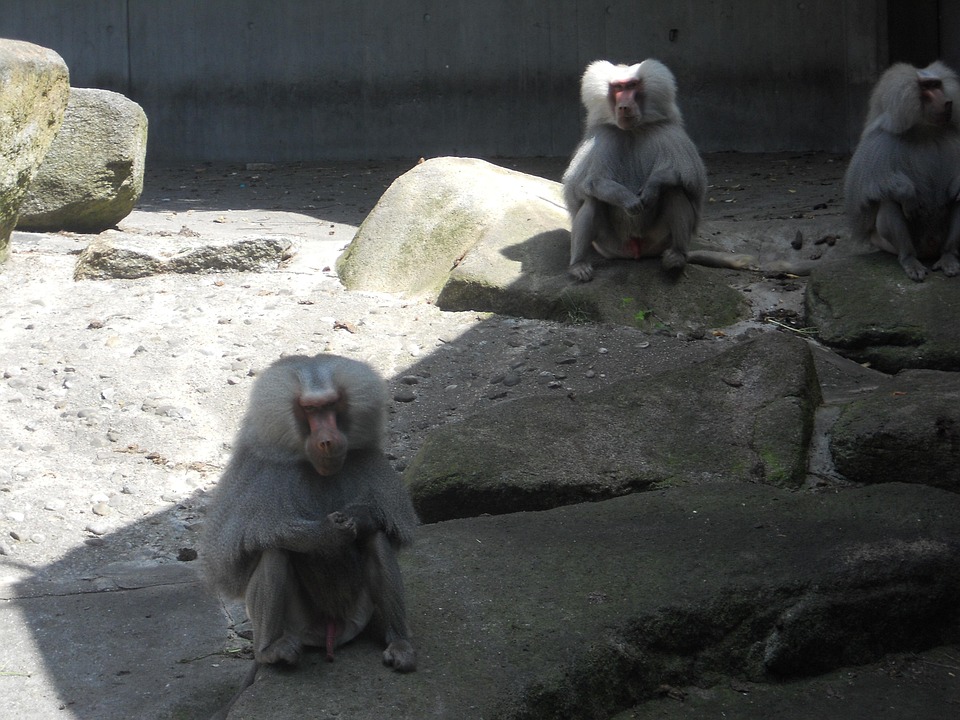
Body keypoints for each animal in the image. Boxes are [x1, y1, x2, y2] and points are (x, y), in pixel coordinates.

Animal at [202, 354, 418, 717]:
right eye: (310, 409)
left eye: (330, 406)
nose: (328, 440)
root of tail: (330, 632)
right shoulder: (257, 472)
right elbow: (232, 556)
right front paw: (325, 534)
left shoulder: (369, 463)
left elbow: (394, 531)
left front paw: (359, 517)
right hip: (299, 628)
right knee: (274, 551)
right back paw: (271, 651)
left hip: (357, 615)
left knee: (375, 539)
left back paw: (400, 643)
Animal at [562, 59, 708, 282]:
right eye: (617, 88)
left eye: (632, 86)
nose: (623, 107)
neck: (633, 131)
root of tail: (636, 252)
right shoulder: (602, 137)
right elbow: (587, 184)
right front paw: (627, 199)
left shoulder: (669, 134)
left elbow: (688, 179)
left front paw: (651, 188)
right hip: (609, 246)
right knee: (593, 199)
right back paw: (578, 266)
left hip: (657, 243)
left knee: (674, 190)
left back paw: (676, 258)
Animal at [844, 60, 960, 281]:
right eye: (927, 87)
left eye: (938, 84)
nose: (948, 102)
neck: (925, 130)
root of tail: (929, 253)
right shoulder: (878, 143)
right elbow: (868, 188)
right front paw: (909, 195)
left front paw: (957, 187)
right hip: (886, 244)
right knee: (888, 201)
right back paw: (910, 261)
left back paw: (949, 258)